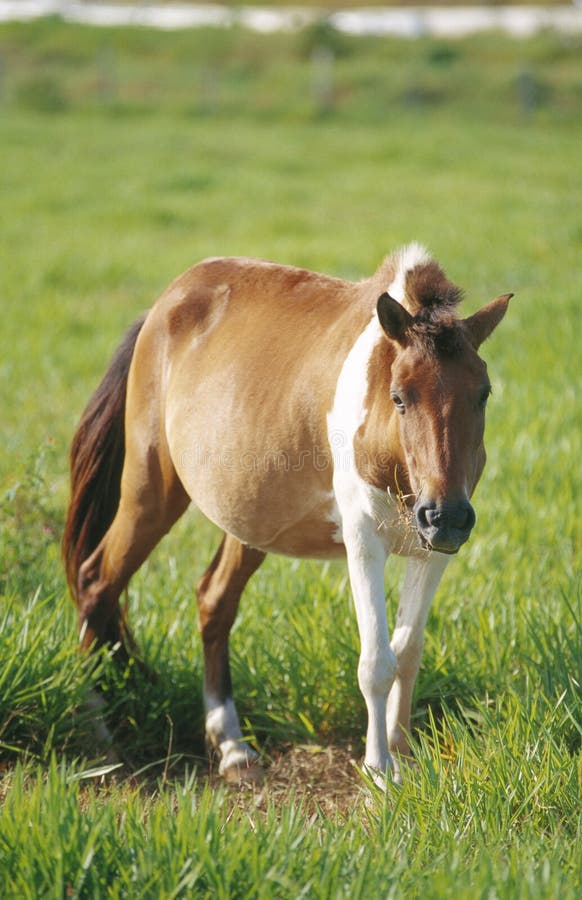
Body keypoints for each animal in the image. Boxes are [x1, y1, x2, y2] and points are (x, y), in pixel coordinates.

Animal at [63, 243, 512, 783]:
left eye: (482, 394)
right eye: (399, 397)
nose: (445, 516)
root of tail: (160, 309)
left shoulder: (432, 553)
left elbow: (407, 653)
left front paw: (403, 758)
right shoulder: (365, 541)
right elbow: (376, 663)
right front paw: (377, 773)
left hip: (250, 518)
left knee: (213, 600)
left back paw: (231, 745)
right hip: (150, 490)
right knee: (96, 582)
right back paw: (100, 733)